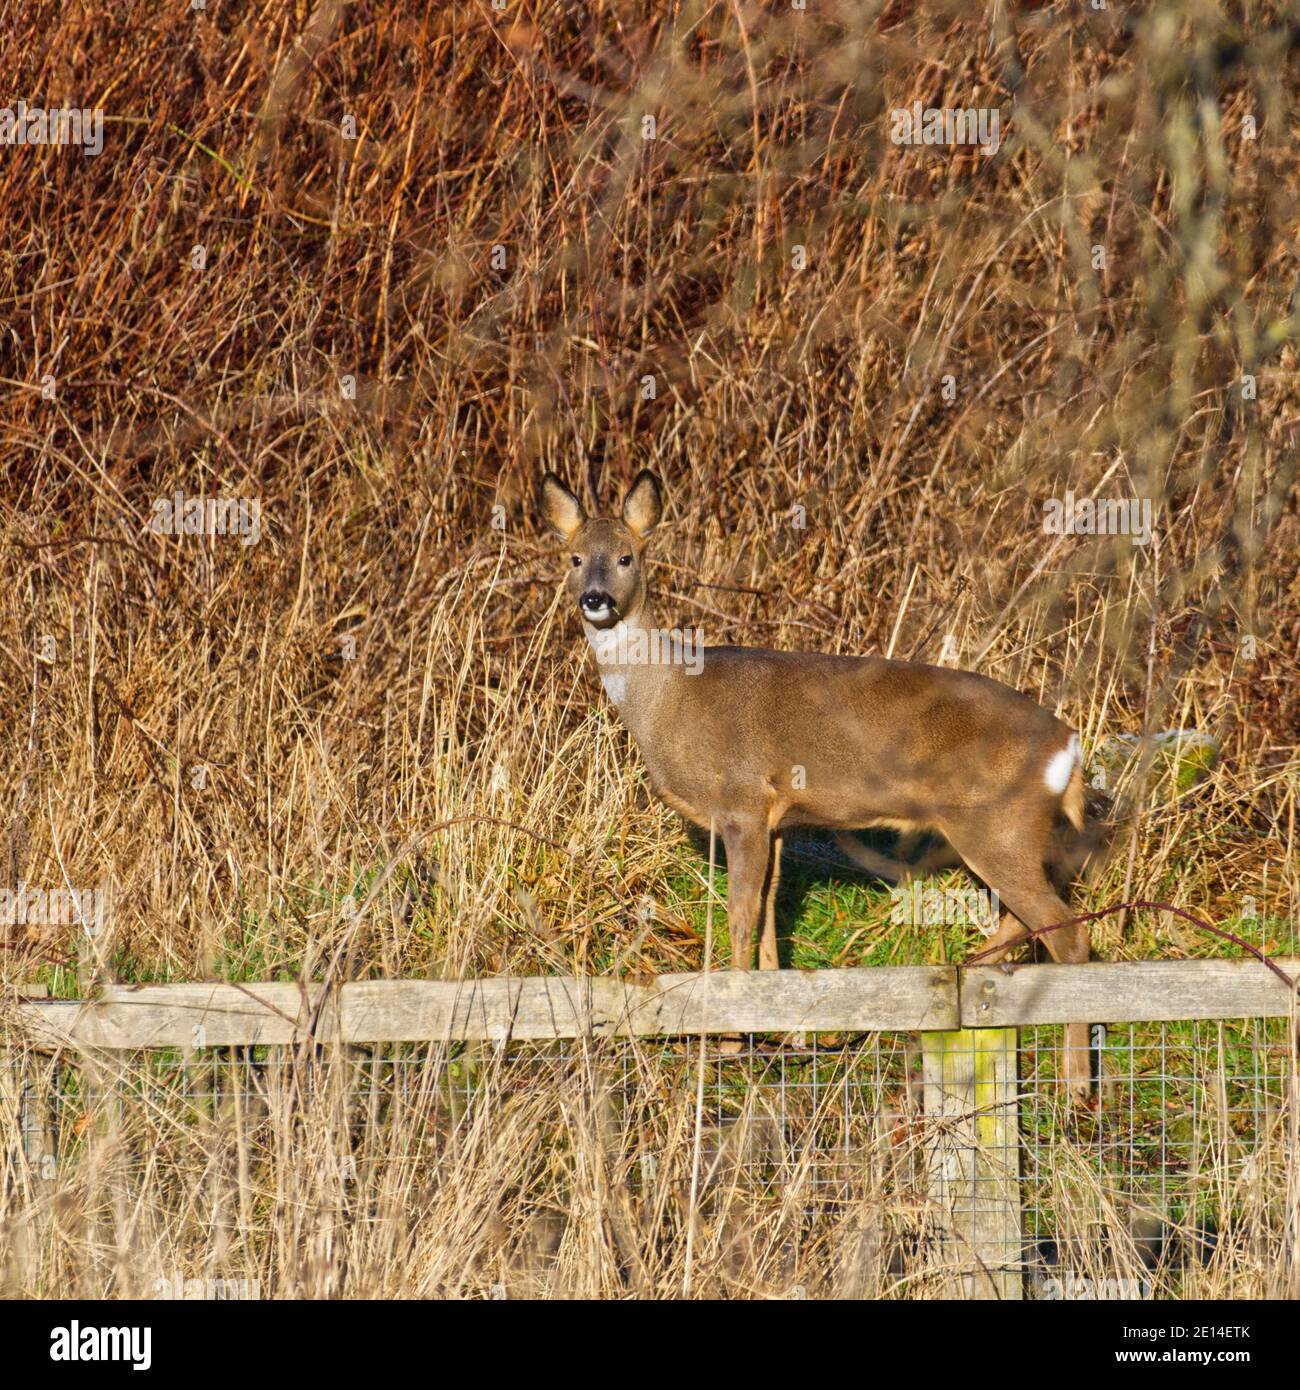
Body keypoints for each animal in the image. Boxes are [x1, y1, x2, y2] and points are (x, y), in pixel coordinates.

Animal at [540, 469, 1097, 1099]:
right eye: (574, 557)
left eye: (627, 556)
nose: (596, 599)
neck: (669, 698)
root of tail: (1069, 746)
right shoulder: (779, 819)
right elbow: (768, 918)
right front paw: (782, 1030)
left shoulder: (741, 802)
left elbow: (740, 919)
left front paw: (730, 1045)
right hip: (1007, 833)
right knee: (1028, 922)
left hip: (997, 825)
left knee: (1069, 936)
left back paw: (1077, 1085)